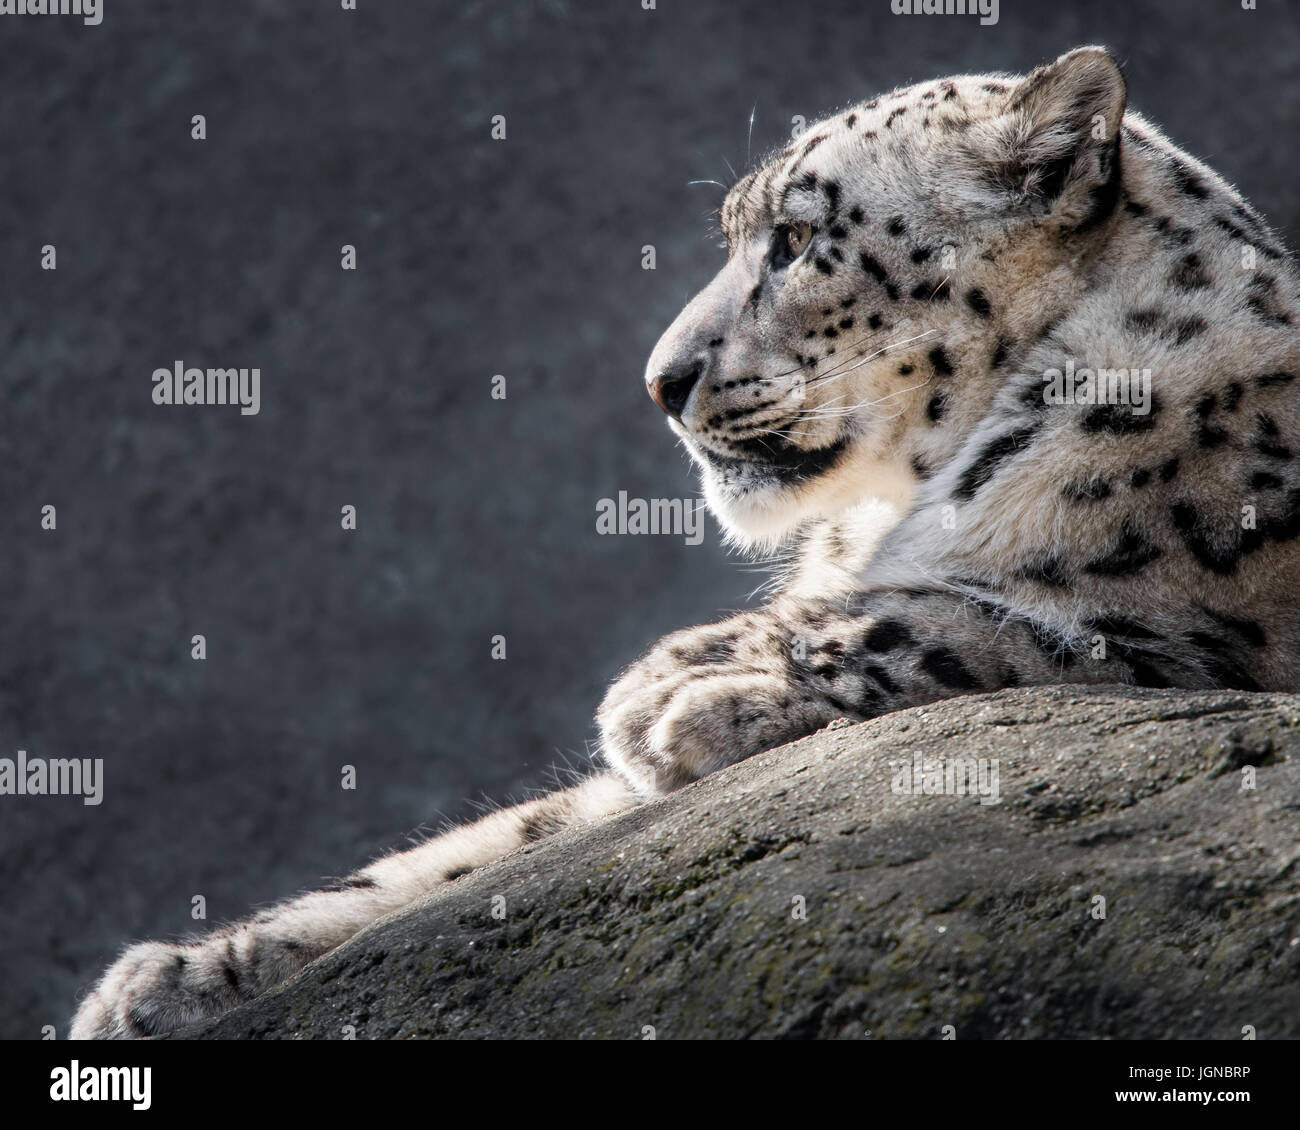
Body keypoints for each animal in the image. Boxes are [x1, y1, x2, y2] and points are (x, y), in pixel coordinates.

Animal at [71, 46, 1299, 1039]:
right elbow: (505, 840)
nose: (662, 380)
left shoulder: (1226, 634)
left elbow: (1007, 626)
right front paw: (178, 974)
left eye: (798, 240)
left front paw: (684, 685)